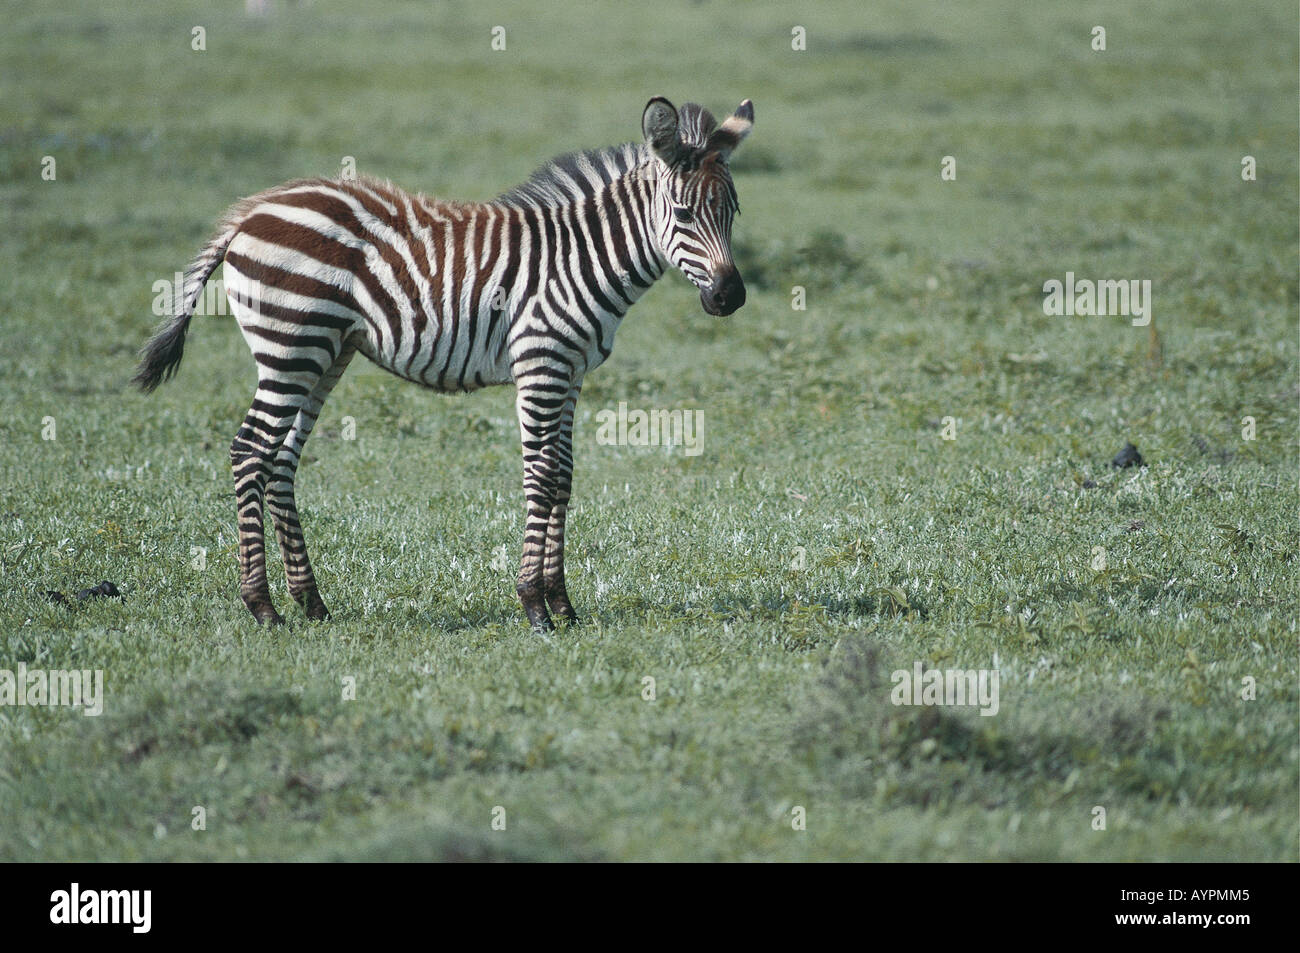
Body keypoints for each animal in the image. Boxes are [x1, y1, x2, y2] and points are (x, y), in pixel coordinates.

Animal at [133, 96, 754, 631]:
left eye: (734, 211)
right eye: (682, 213)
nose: (730, 298)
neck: (583, 258)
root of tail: (253, 209)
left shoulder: (571, 372)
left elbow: (564, 477)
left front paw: (564, 604)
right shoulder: (541, 363)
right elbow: (542, 476)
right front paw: (536, 607)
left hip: (324, 354)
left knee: (280, 459)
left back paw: (311, 602)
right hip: (290, 345)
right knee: (249, 452)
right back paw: (261, 606)